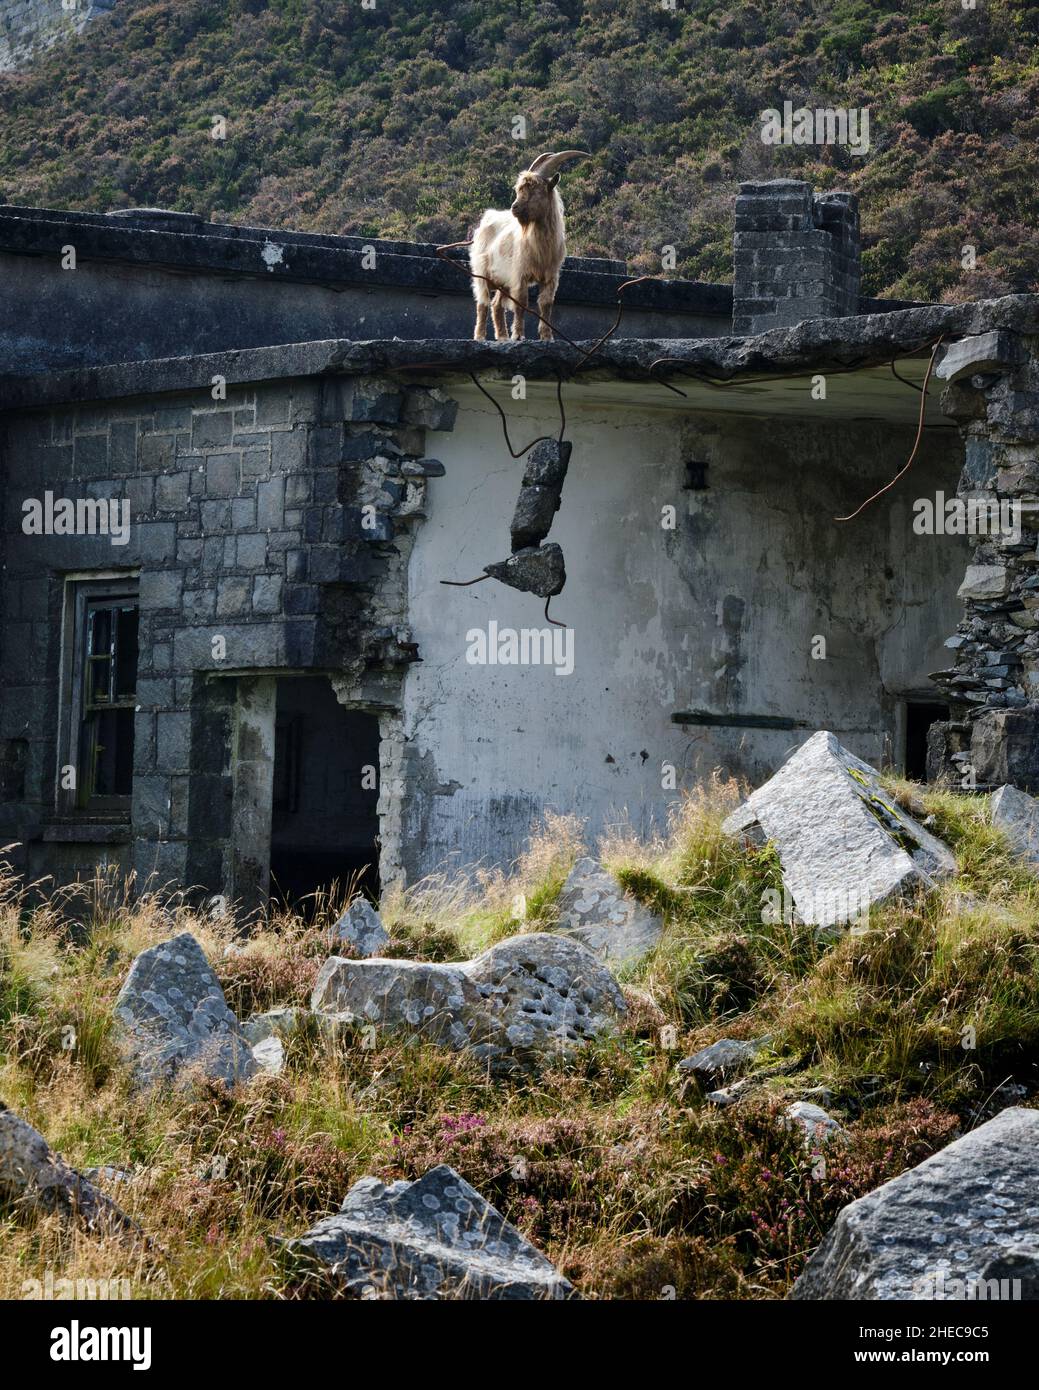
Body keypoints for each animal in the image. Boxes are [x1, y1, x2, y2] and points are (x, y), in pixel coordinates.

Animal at [470, 150, 588, 342]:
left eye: (535, 189)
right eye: (520, 189)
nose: (514, 207)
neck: (541, 243)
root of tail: (487, 218)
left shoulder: (550, 276)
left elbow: (546, 304)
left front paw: (547, 336)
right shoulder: (520, 274)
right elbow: (521, 303)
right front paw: (518, 335)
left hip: (503, 279)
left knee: (496, 304)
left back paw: (502, 337)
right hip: (482, 272)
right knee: (483, 302)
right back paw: (480, 336)